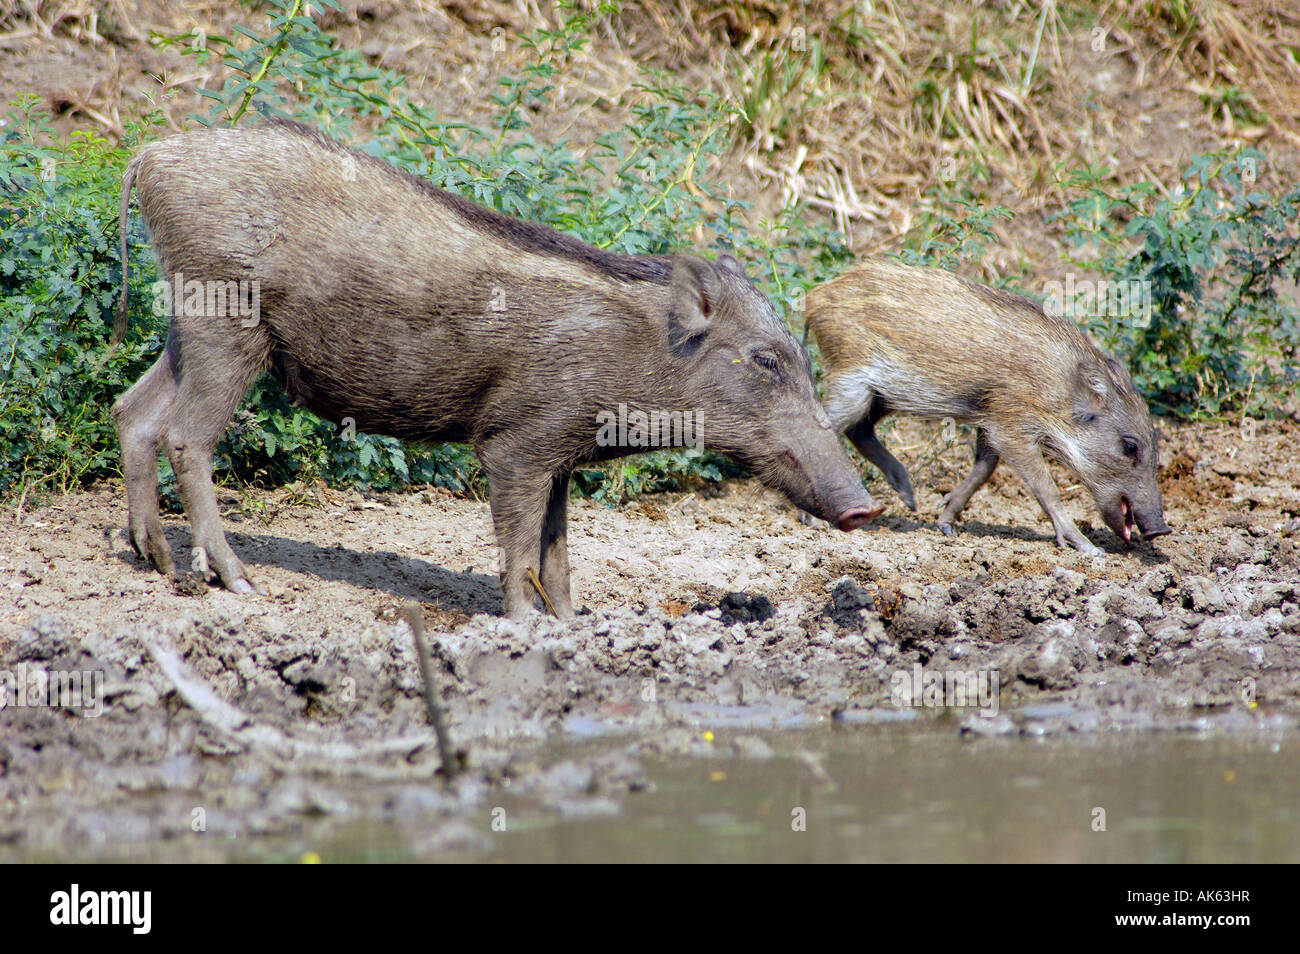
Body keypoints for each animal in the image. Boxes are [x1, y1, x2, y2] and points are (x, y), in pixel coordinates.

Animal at [110, 120, 883, 618]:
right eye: (765, 359)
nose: (865, 508)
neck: (641, 352)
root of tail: (150, 154)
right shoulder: (516, 442)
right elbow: (518, 545)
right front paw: (521, 624)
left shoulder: (562, 453)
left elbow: (558, 550)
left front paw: (572, 623)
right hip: (227, 327)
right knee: (186, 437)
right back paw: (236, 583)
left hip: (188, 326)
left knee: (133, 412)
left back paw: (157, 561)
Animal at [804, 259, 1170, 556]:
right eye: (1129, 446)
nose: (1161, 530)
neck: (1058, 390)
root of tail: (815, 296)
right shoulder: (1010, 424)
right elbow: (1046, 488)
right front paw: (1089, 549)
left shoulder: (990, 418)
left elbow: (985, 467)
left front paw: (945, 522)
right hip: (852, 381)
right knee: (827, 429)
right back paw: (815, 521)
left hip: (882, 396)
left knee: (859, 431)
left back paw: (909, 498)